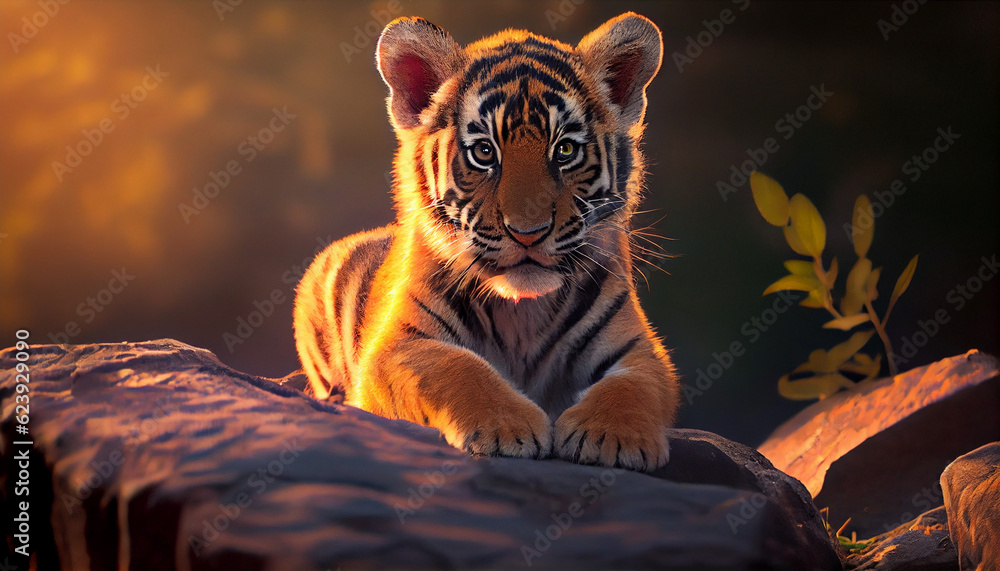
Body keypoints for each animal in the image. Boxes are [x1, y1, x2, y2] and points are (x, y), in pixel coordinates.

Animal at [293, 12, 680, 472]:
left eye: (565, 150)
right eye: (483, 152)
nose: (528, 232)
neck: (523, 313)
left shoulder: (639, 350)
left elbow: (633, 387)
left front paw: (612, 437)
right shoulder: (400, 346)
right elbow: (457, 368)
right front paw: (506, 426)